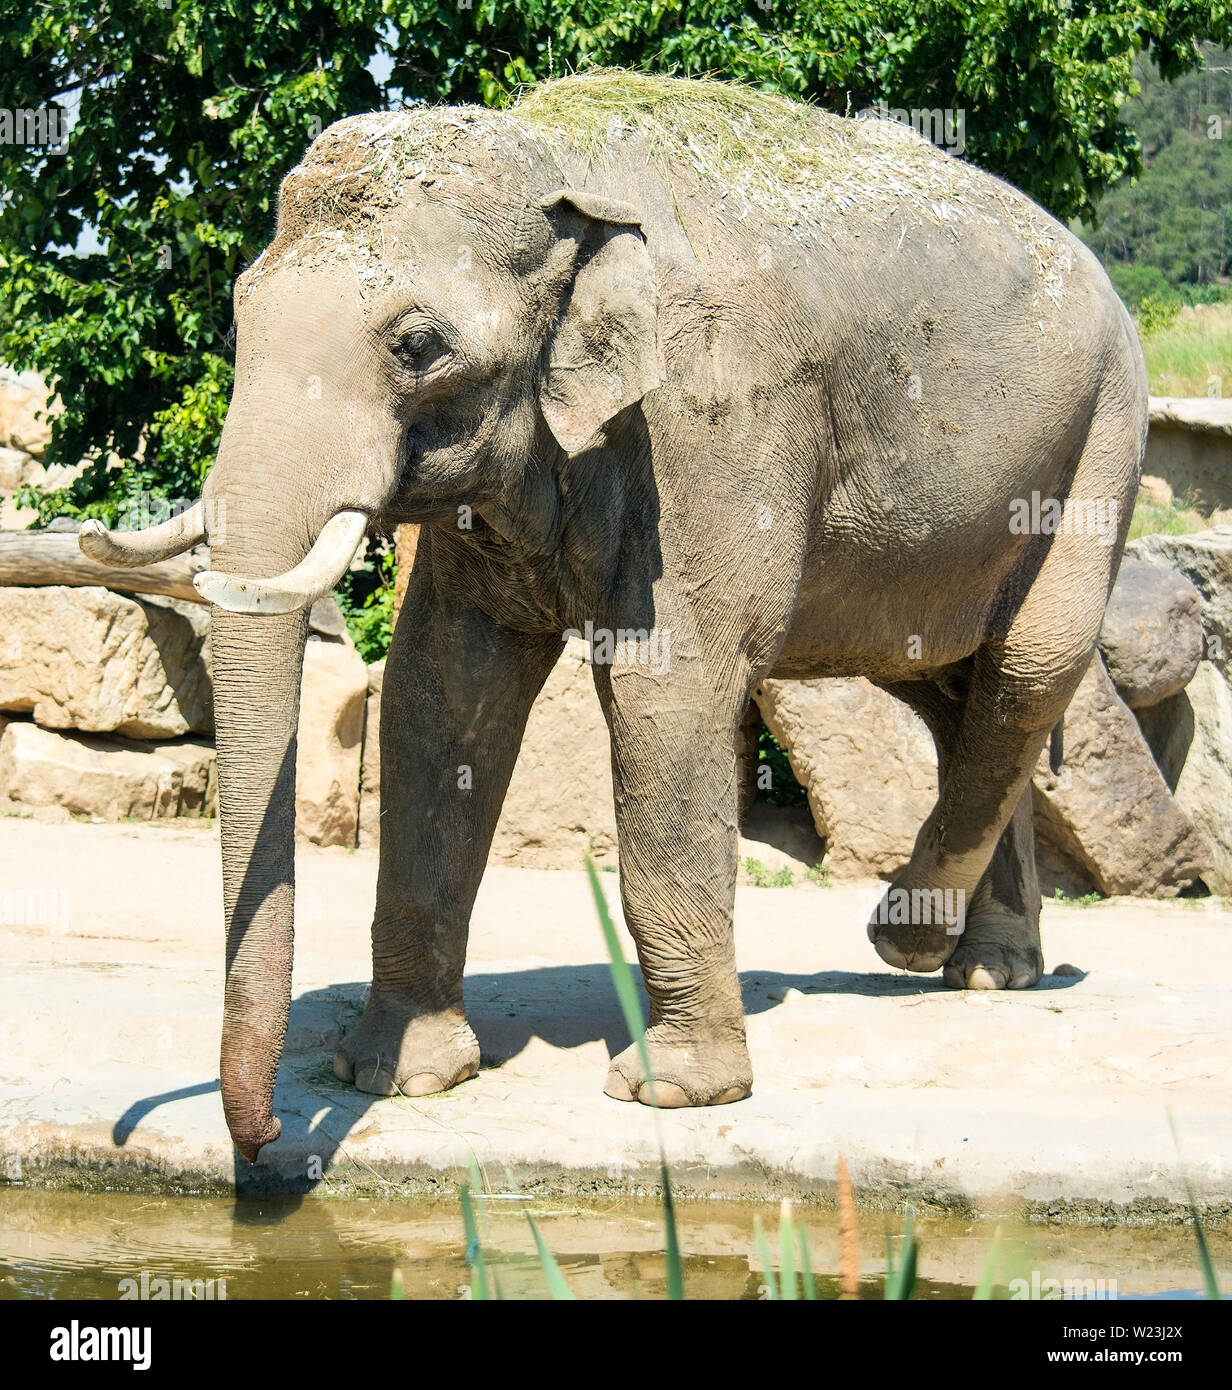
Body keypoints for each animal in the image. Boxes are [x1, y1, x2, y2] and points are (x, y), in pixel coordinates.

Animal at [80, 73, 1146, 1162]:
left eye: (417, 345)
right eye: (241, 313)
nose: (264, 1148)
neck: (565, 169)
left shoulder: (713, 422)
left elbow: (662, 695)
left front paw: (669, 1093)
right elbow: (442, 688)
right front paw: (398, 1074)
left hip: (1103, 433)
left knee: (1025, 667)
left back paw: (909, 942)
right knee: (951, 686)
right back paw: (986, 969)